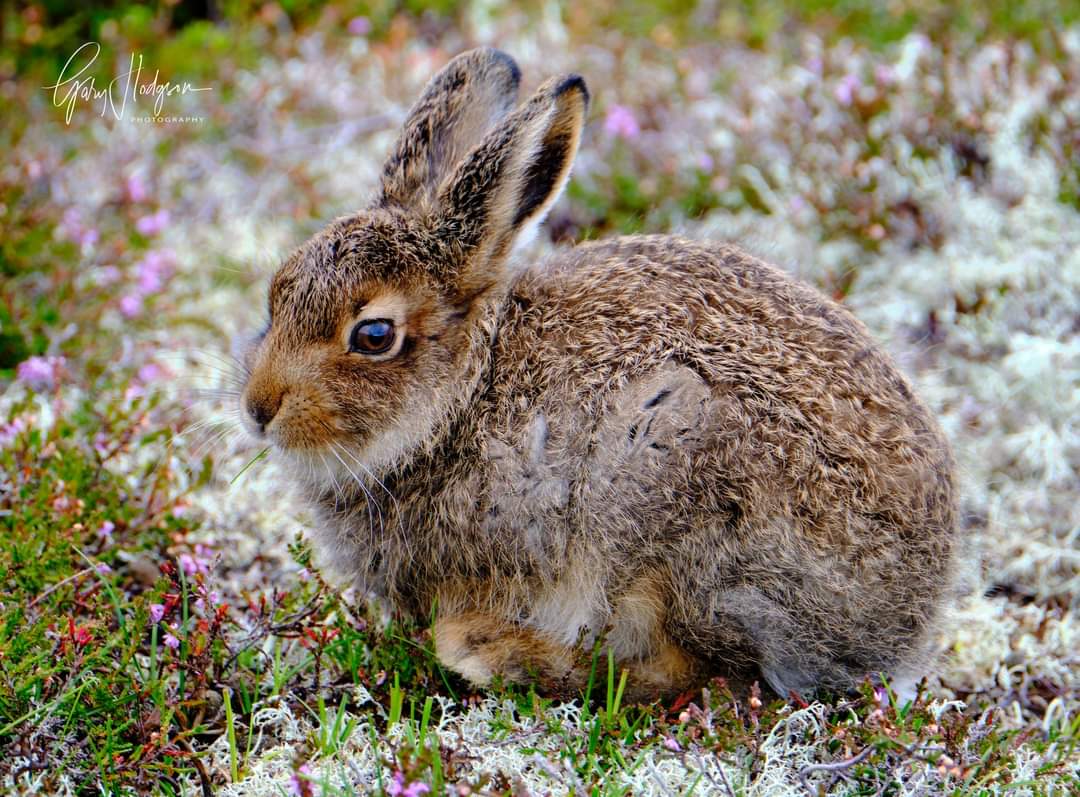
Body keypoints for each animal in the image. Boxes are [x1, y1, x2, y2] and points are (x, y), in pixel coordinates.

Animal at [239, 47, 959, 702]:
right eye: (276, 296)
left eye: (374, 336)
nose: (259, 408)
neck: (463, 399)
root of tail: (908, 611)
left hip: (669, 488)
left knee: (692, 673)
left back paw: (492, 650)